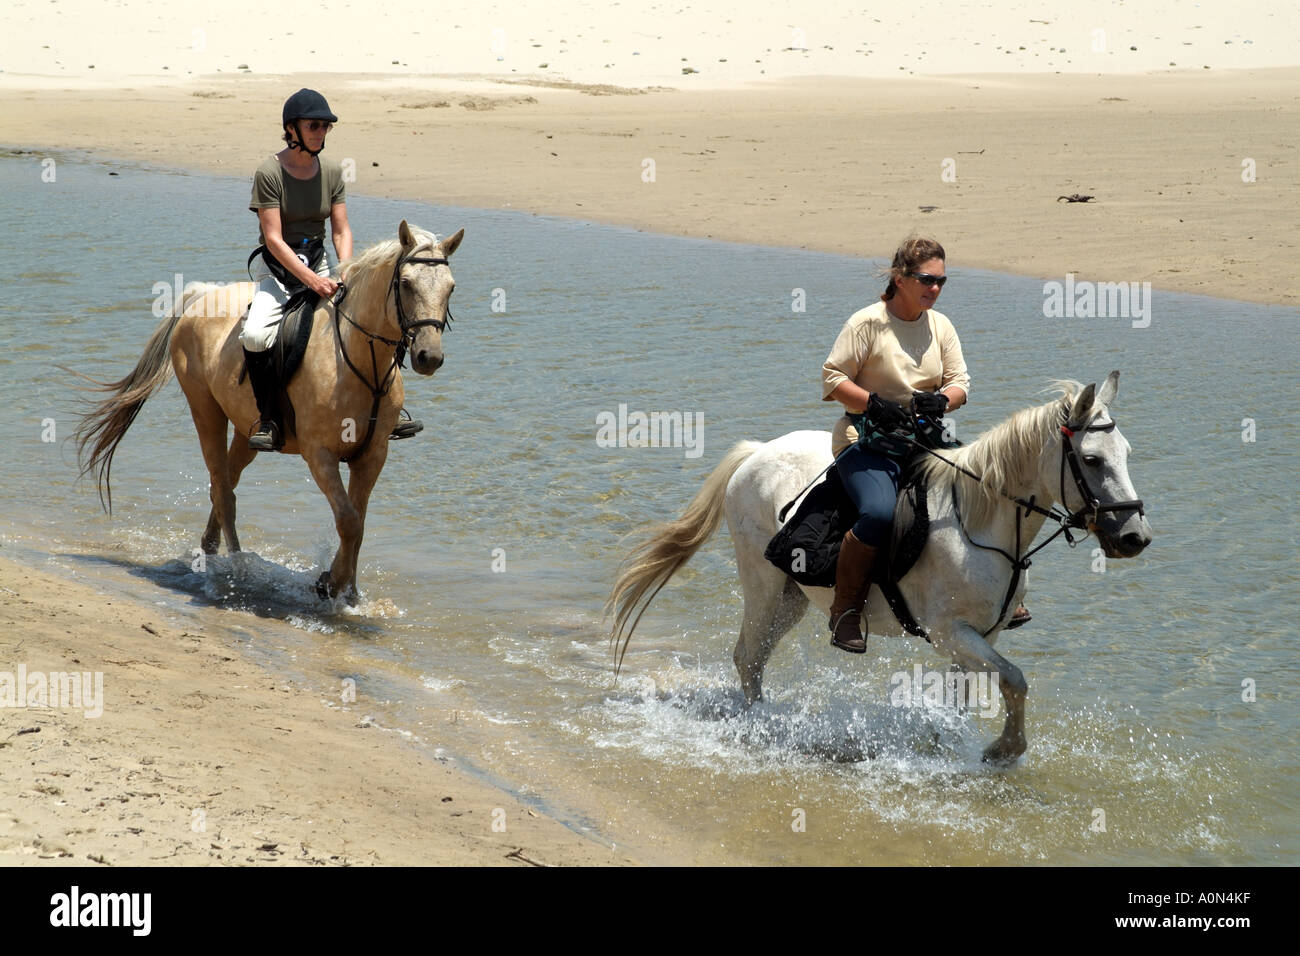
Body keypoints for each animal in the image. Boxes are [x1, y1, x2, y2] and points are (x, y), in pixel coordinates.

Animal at [73, 220, 463, 603]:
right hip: (206, 410)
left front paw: (347, 590)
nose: (429, 357)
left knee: (225, 482)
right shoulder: (319, 455)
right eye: (406, 284)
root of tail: (201, 296)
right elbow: (349, 521)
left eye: (451, 288)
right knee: (223, 492)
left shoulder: (372, 455)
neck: (355, 359)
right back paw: (239, 570)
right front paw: (331, 586)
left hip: (247, 429)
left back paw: (210, 552)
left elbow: (357, 523)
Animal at [608, 372, 1152, 763]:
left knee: (755, 655)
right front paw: (1003, 751)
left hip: (791, 596)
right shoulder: (951, 632)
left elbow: (963, 698)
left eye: (1126, 453)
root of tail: (755, 453)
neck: (980, 523)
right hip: (761, 584)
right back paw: (761, 727)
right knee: (748, 656)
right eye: (1092, 459)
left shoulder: (981, 637)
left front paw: (944, 748)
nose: (1134, 538)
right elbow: (1015, 681)